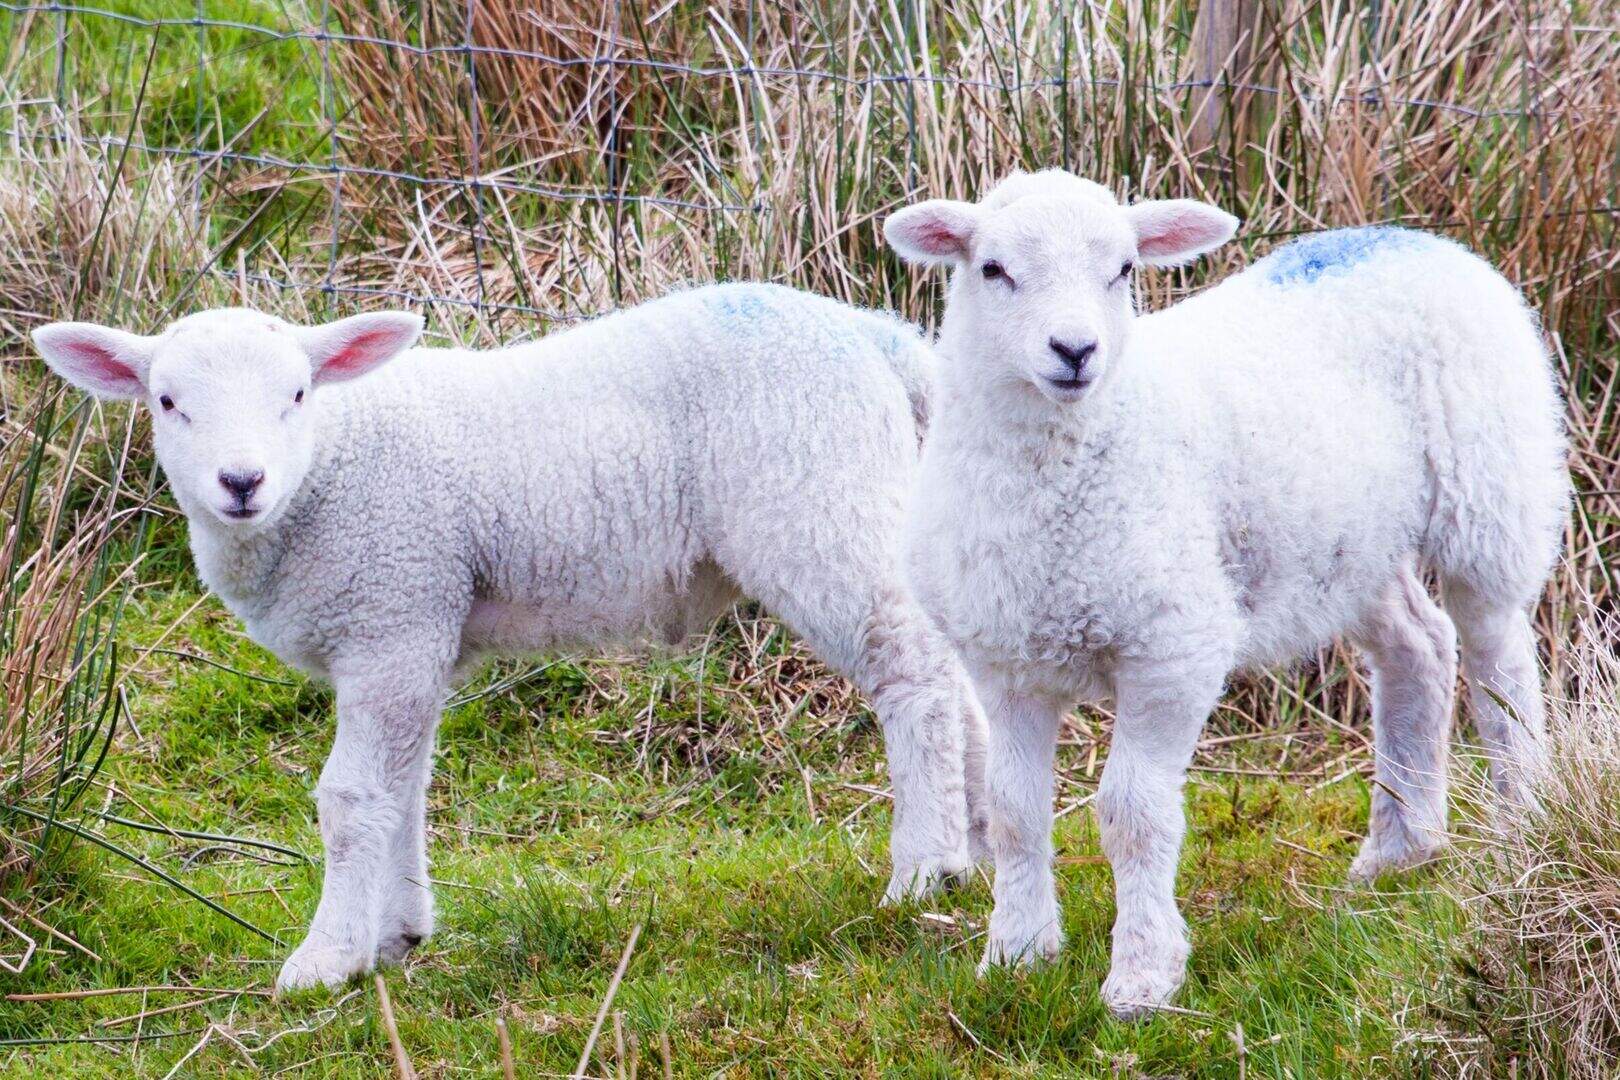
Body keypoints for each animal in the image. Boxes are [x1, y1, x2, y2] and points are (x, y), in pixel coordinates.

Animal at [33, 282, 990, 993]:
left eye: (296, 395)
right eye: (166, 402)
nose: (241, 481)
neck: (331, 466)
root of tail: (878, 338)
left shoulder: (392, 612)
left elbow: (352, 798)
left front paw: (326, 960)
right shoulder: (416, 630)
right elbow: (405, 789)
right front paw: (399, 934)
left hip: (818, 505)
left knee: (914, 675)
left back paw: (923, 867)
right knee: (960, 676)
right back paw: (980, 850)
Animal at [883, 169, 1568, 1018]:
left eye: (1123, 270)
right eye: (993, 269)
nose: (1075, 351)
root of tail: (1407, 236)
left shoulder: (1172, 648)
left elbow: (1133, 813)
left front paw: (1141, 977)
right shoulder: (1005, 663)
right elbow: (1014, 812)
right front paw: (1015, 955)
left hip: (1490, 489)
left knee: (1499, 658)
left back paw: (1520, 825)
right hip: (1348, 543)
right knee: (1419, 645)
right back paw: (1400, 848)